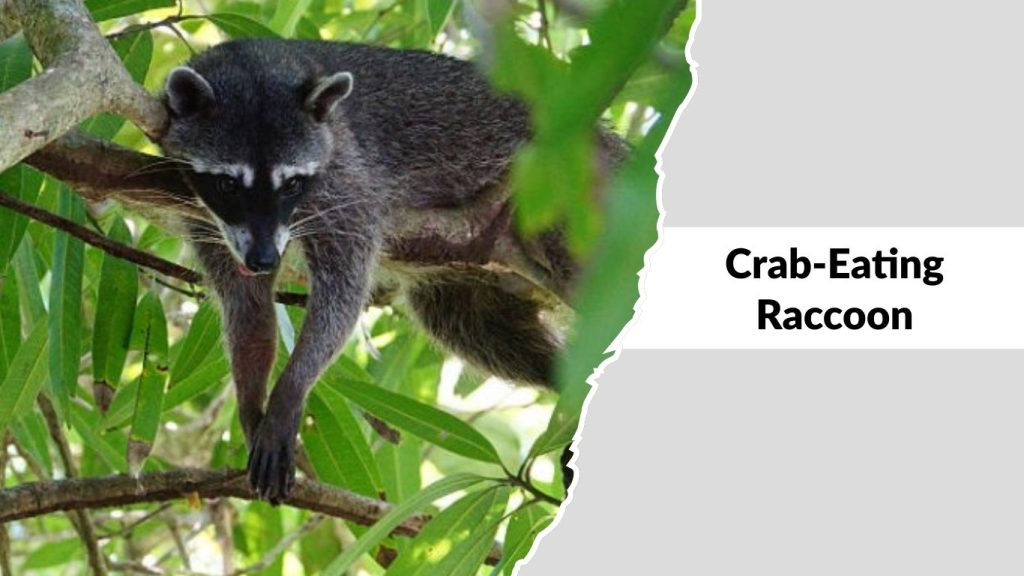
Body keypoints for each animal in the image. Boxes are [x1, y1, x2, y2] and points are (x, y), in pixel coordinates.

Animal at [157, 38, 623, 503]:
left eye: (291, 184)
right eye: (229, 184)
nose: (264, 260)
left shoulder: (346, 175)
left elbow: (343, 289)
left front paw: (290, 391)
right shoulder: (202, 210)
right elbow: (248, 307)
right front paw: (253, 403)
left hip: (573, 198)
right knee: (476, 326)